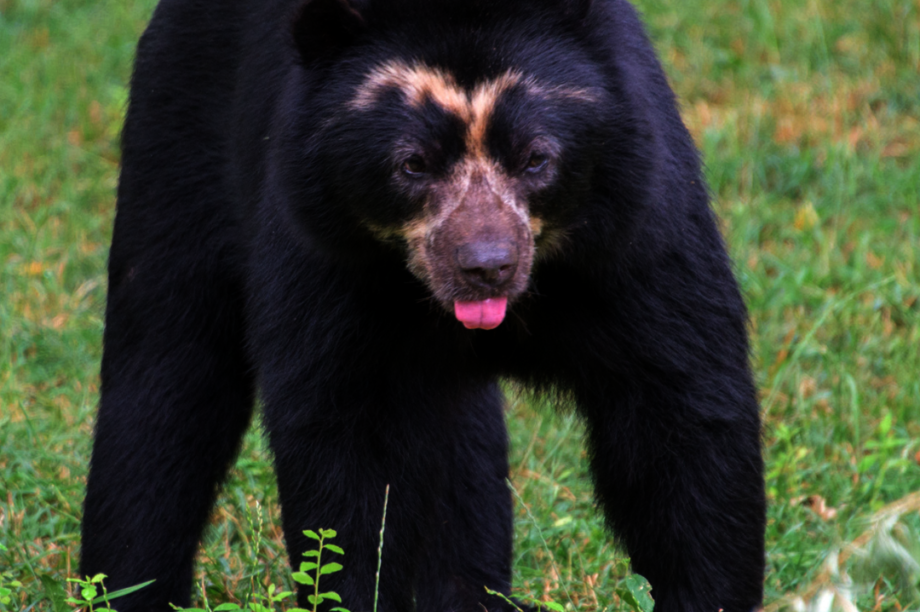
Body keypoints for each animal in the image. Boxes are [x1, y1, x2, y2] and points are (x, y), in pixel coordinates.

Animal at [79, 0, 766, 611]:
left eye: (536, 159)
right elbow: (344, 448)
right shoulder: (321, 251)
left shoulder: (637, 225)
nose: (486, 267)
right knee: (167, 377)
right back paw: (119, 591)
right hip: (176, 135)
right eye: (411, 165)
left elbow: (680, 408)